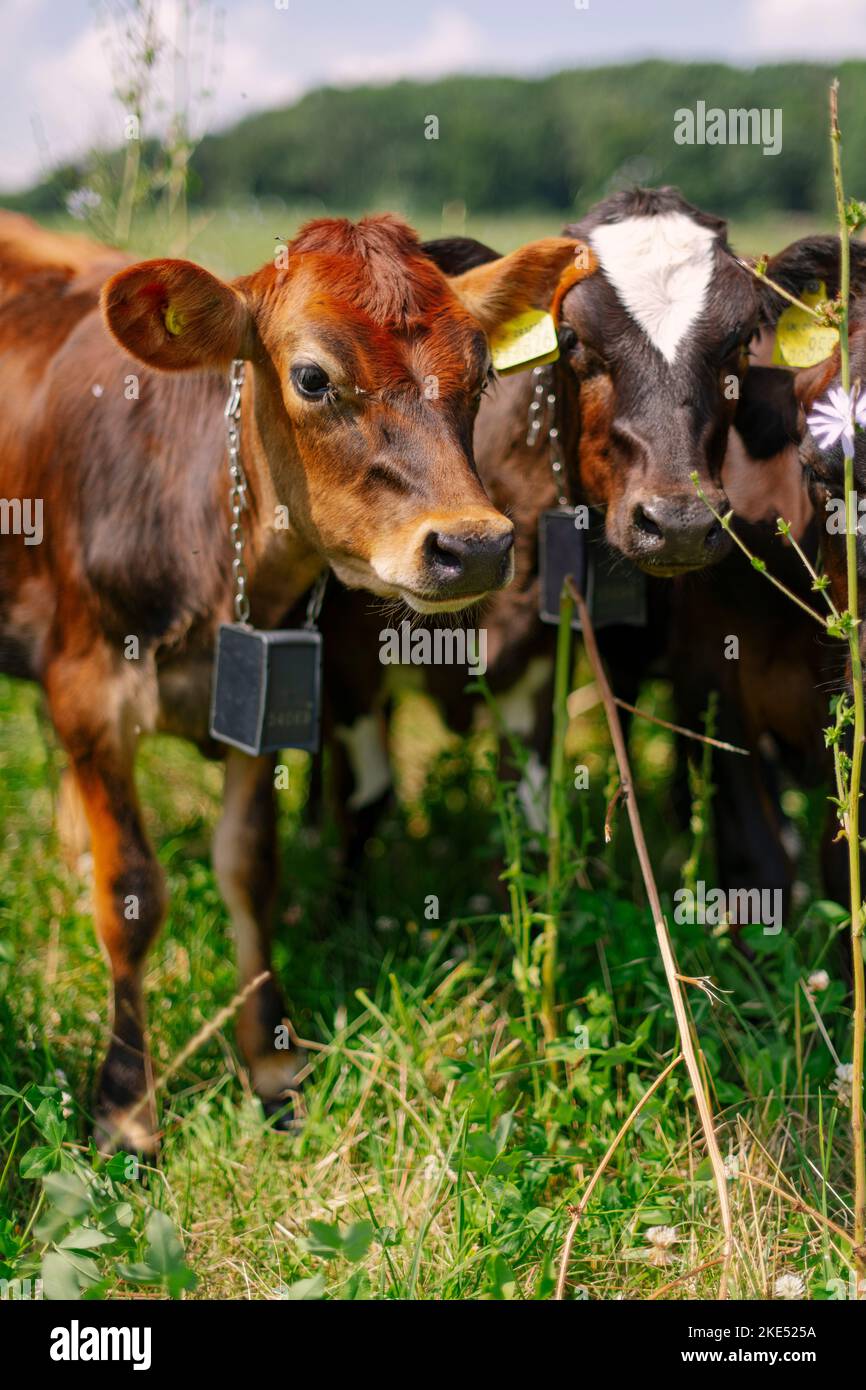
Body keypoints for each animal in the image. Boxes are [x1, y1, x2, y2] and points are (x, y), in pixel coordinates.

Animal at [0, 210, 594, 1151]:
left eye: (482, 371)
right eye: (313, 377)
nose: (474, 546)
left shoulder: (269, 701)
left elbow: (250, 868)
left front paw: (272, 1065)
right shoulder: (87, 692)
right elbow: (131, 892)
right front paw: (126, 1106)